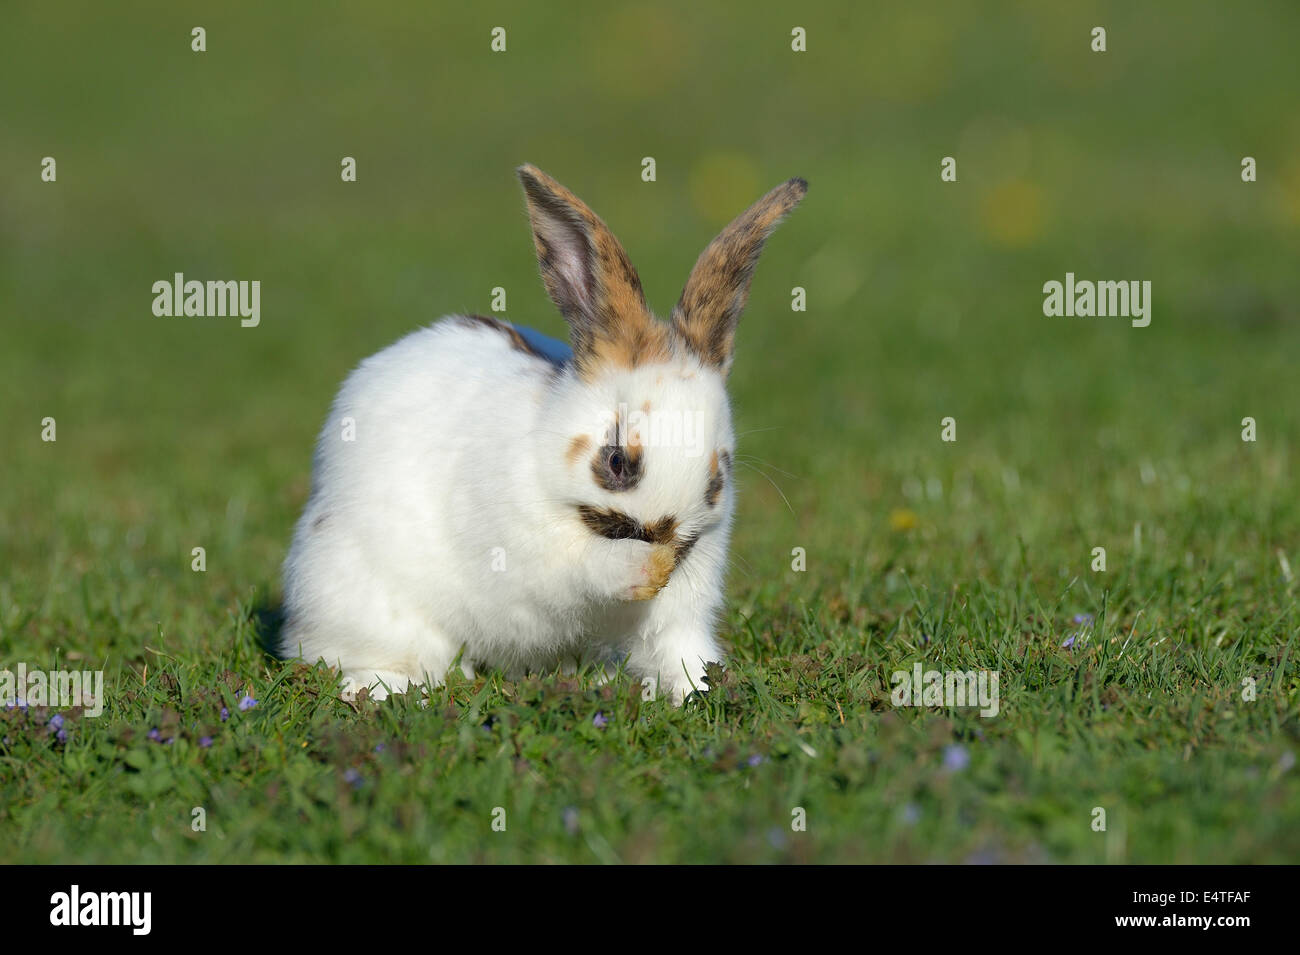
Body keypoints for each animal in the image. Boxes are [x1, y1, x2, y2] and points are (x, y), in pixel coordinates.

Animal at [280, 164, 806, 705]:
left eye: (717, 480)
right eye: (616, 461)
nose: (663, 536)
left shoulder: (684, 598)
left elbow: (679, 645)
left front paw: (696, 691)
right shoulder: (536, 555)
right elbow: (583, 569)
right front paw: (638, 570)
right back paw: (382, 688)